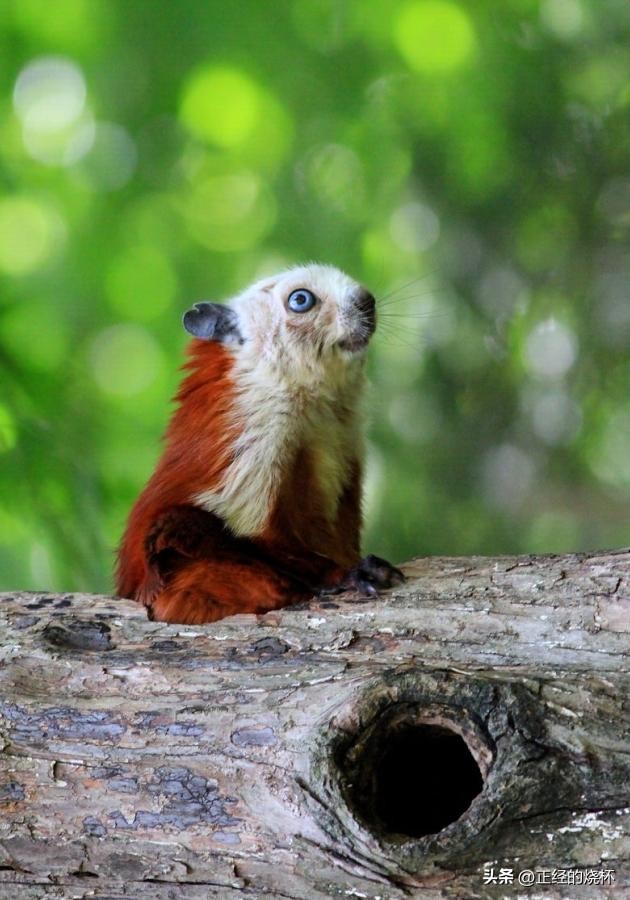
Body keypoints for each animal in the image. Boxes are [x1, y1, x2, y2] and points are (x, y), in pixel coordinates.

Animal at [116, 263, 404, 624]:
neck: (312, 403)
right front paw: (346, 574)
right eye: (301, 300)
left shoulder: (348, 437)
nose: (367, 302)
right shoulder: (252, 434)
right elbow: (258, 537)